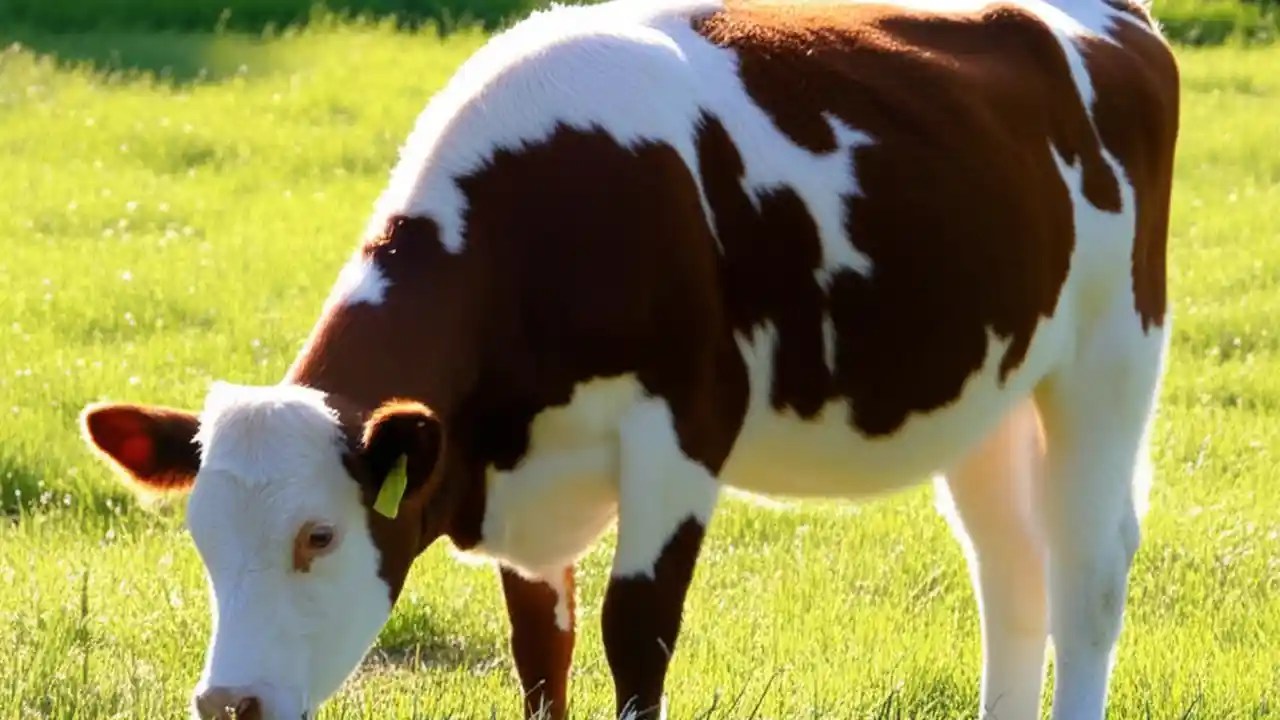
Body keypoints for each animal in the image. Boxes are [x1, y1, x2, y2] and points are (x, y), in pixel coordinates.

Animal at [76, 0, 1179, 717]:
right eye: (201, 539)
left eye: (320, 535)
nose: (228, 703)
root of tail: (1108, 18)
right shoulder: (519, 485)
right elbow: (541, 651)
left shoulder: (680, 430)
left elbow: (634, 632)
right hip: (985, 396)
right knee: (1010, 570)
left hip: (1109, 359)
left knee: (1084, 569)